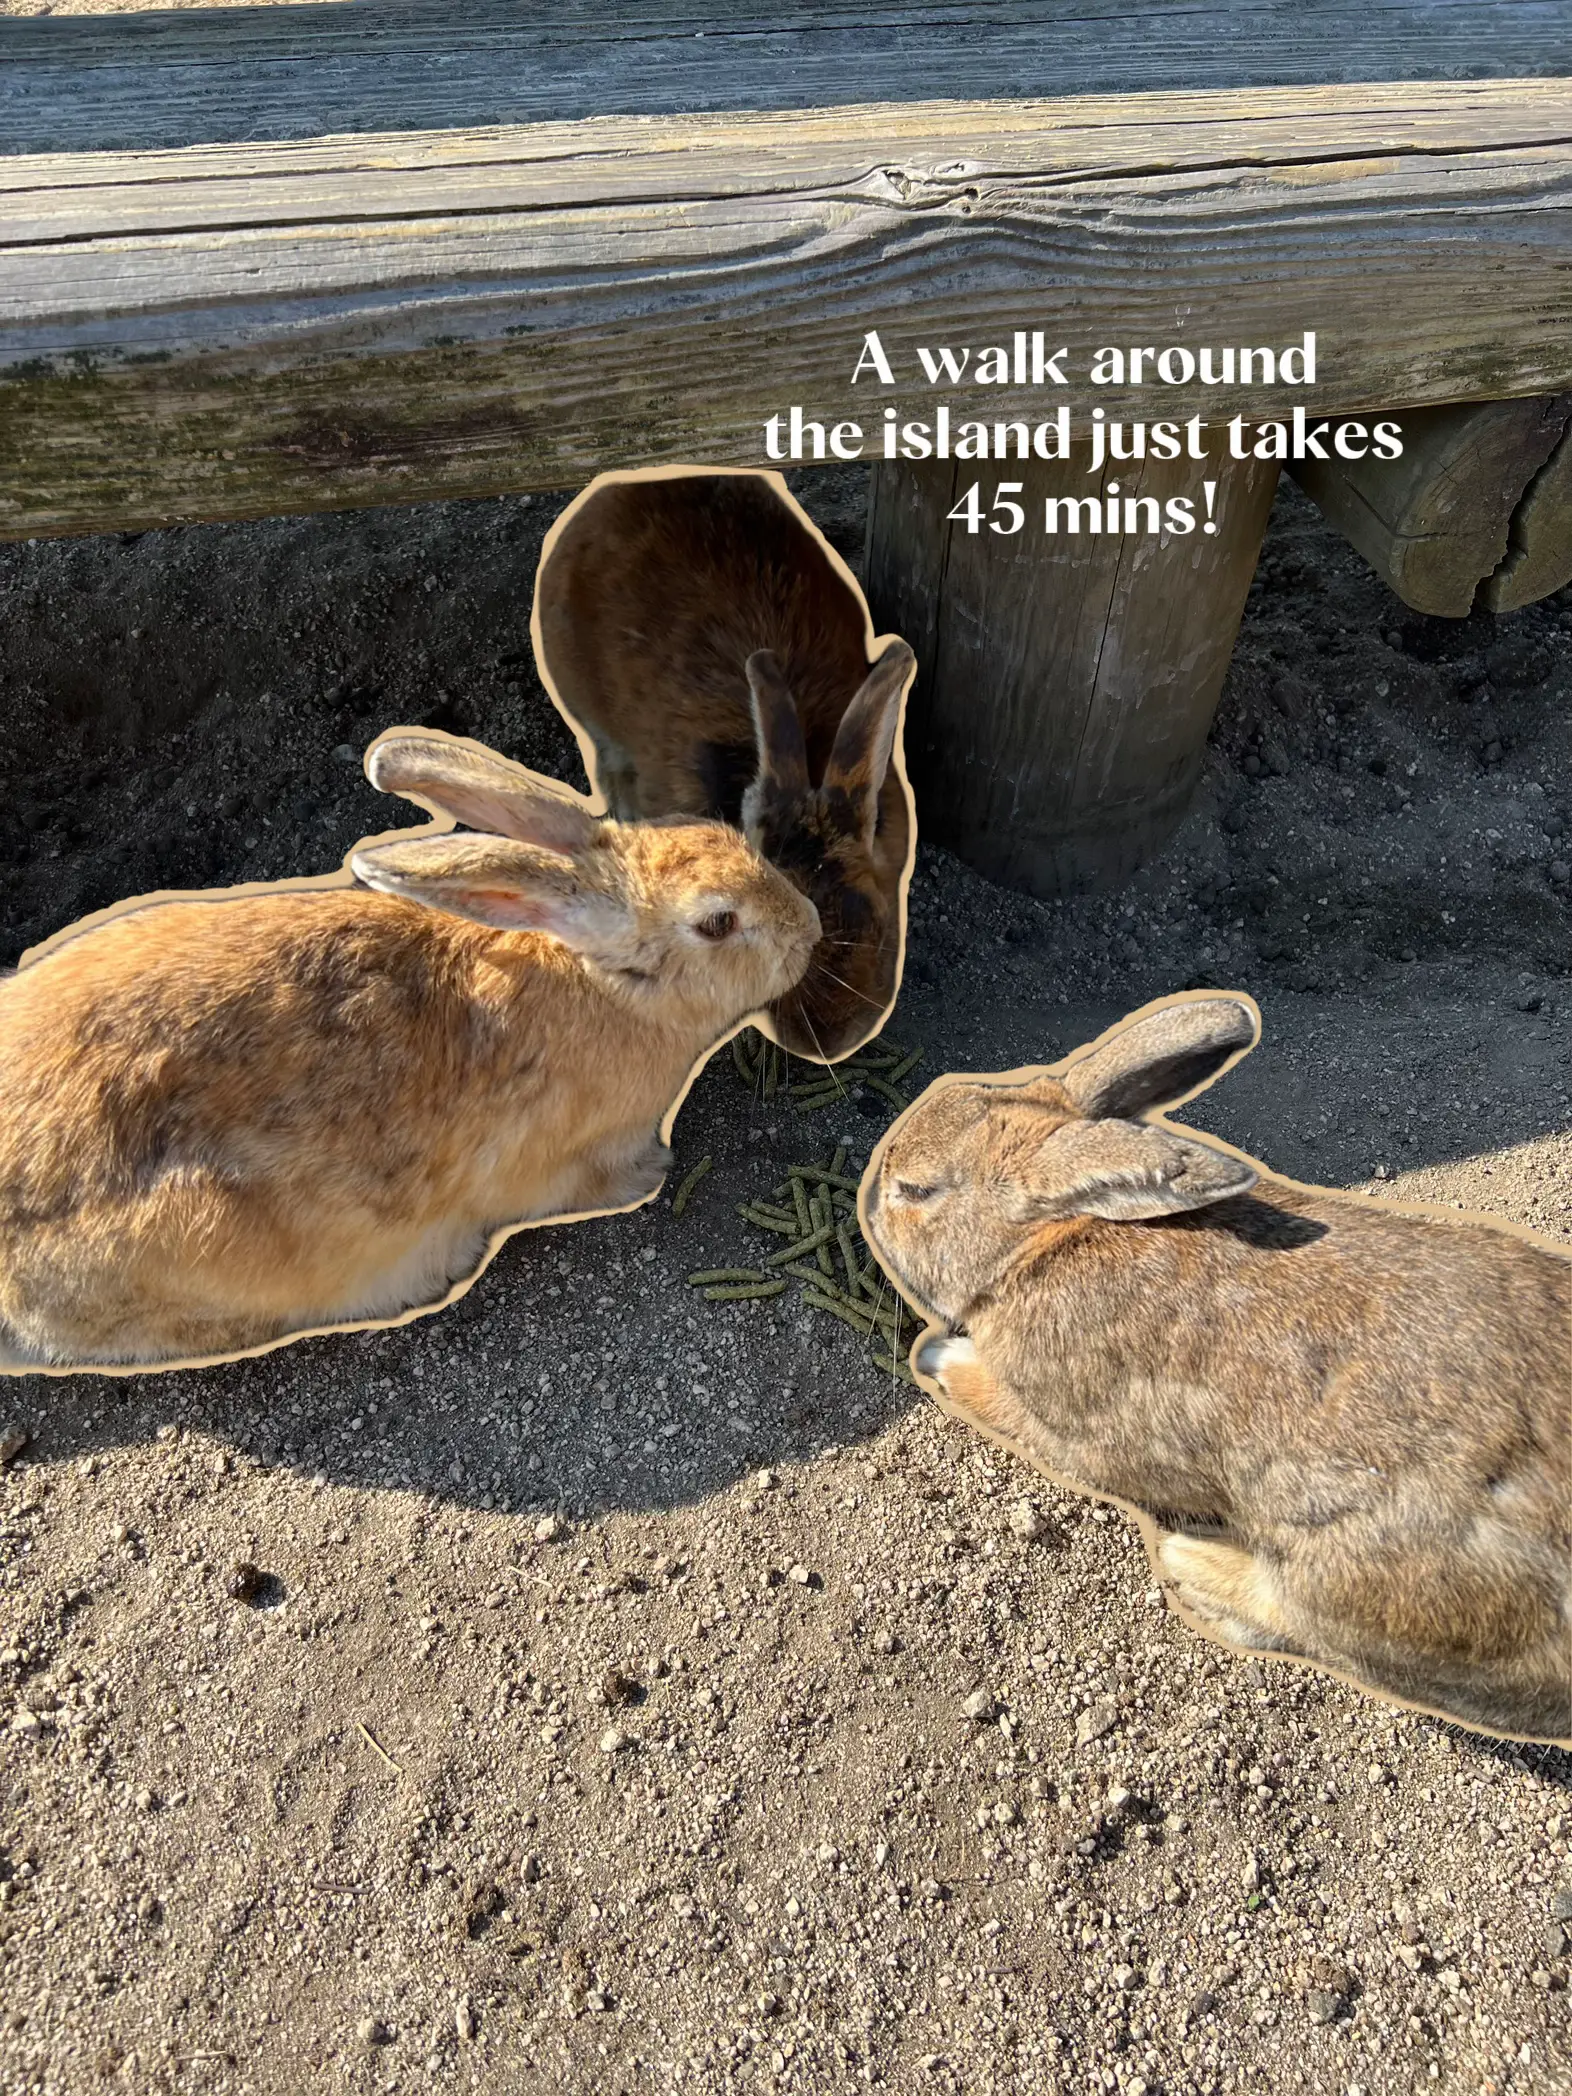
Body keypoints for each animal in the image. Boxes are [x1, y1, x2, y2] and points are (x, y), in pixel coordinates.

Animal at [861, 994, 1572, 1745]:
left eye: (915, 1189)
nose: (871, 1196)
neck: (1047, 1244)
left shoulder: (1071, 1428)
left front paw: (939, 1356)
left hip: (1376, 1585)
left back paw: (1193, 1566)